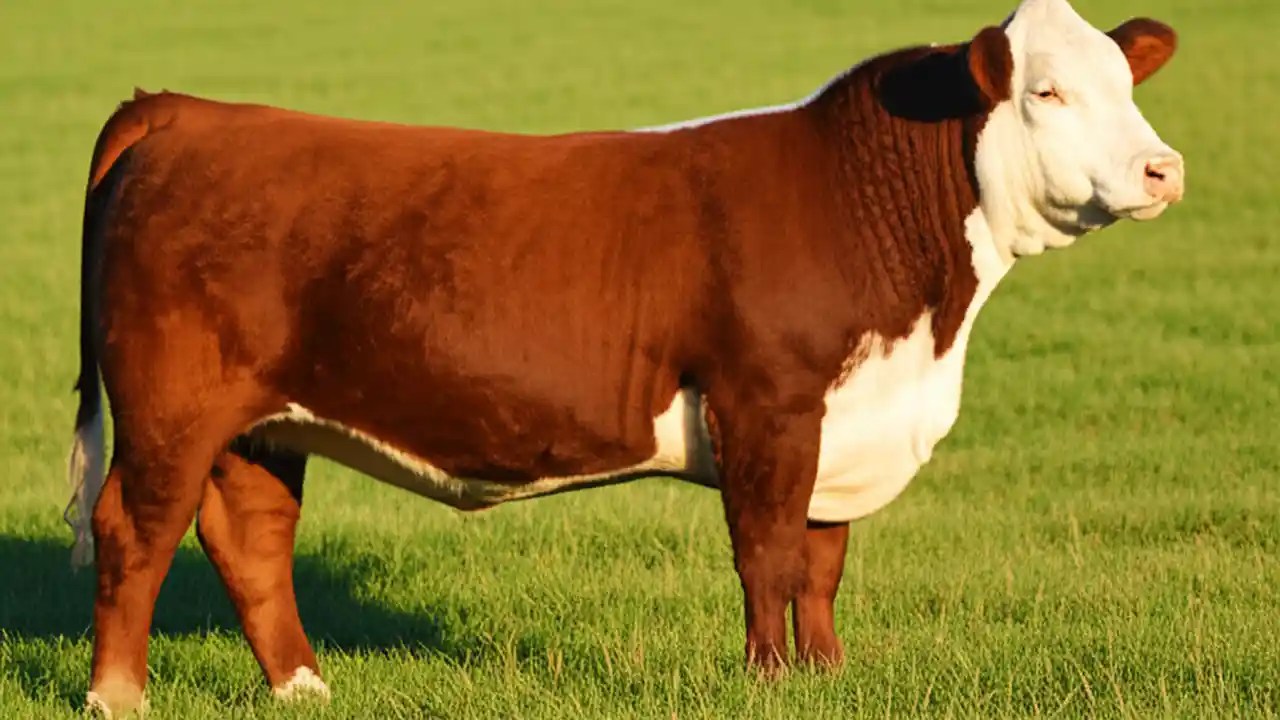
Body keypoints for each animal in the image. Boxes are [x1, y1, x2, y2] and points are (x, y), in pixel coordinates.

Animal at [63, 0, 1183, 715]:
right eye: (1047, 93)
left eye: (1127, 84)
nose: (1161, 168)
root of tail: (191, 110)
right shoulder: (768, 401)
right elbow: (768, 553)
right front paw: (769, 682)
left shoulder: (847, 420)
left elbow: (822, 562)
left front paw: (828, 676)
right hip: (170, 407)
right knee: (137, 530)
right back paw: (118, 697)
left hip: (263, 419)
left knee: (248, 535)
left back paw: (303, 687)